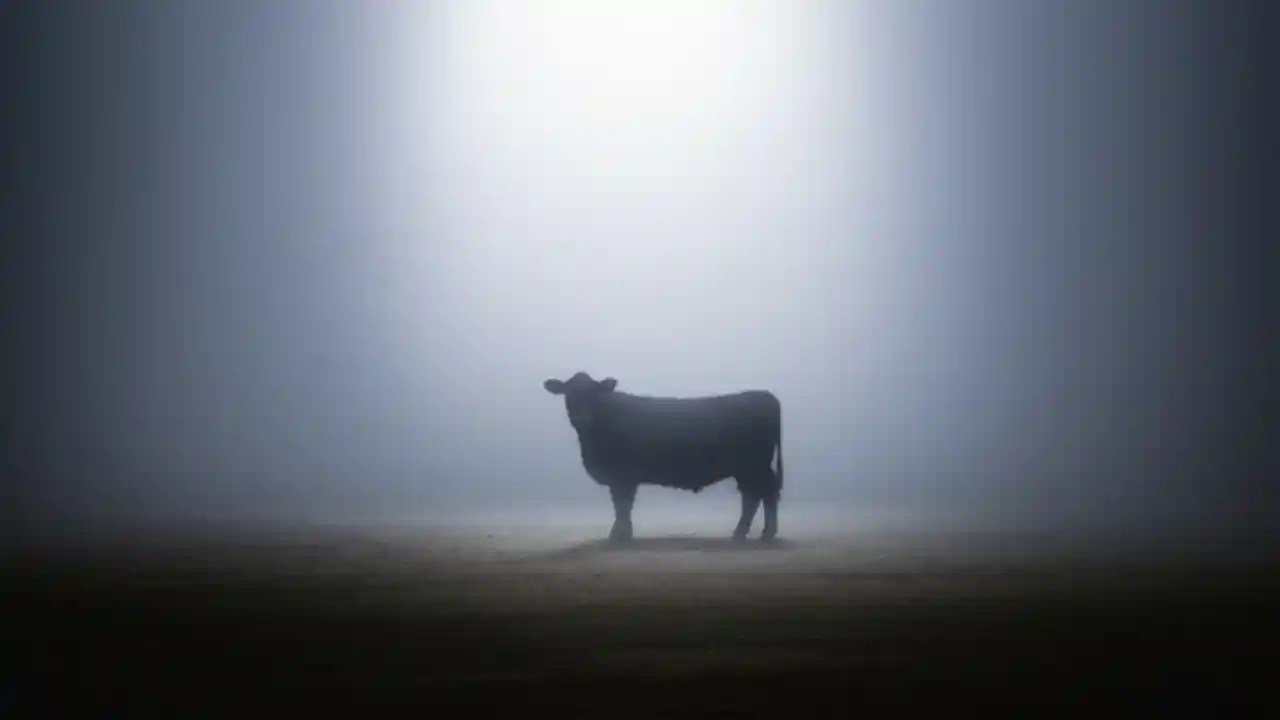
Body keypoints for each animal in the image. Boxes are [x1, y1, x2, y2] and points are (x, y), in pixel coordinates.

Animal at [542, 371, 784, 543]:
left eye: (594, 394)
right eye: (569, 394)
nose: (582, 418)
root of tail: (765, 395)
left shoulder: (623, 475)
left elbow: (622, 505)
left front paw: (619, 535)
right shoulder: (619, 477)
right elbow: (621, 506)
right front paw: (621, 534)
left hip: (753, 465)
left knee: (762, 493)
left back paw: (759, 533)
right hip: (748, 468)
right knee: (756, 495)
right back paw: (753, 533)